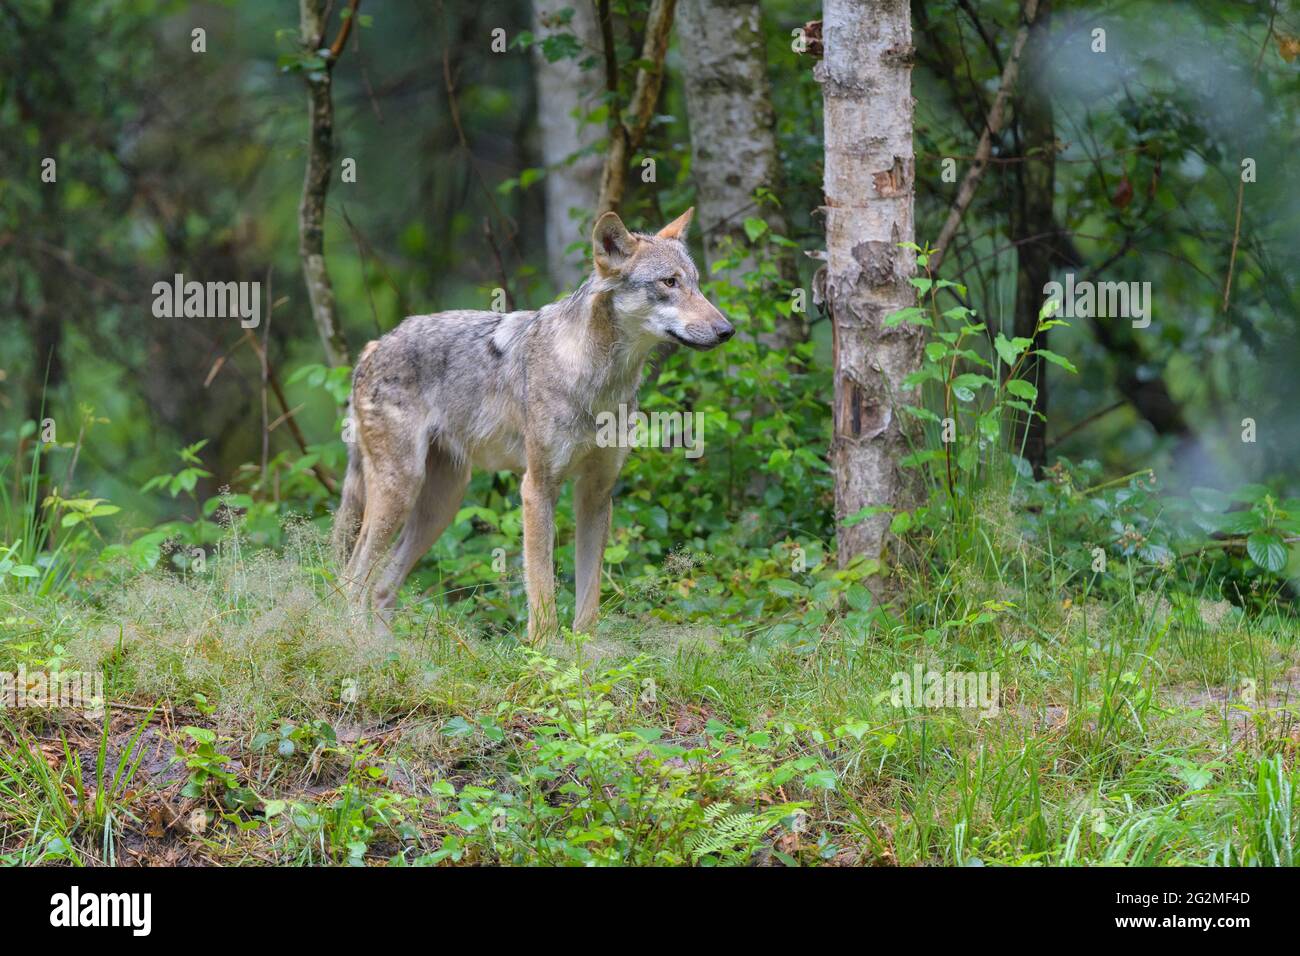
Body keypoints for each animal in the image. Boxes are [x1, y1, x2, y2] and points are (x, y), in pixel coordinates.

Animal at [332, 208, 733, 642]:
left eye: (695, 283)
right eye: (669, 283)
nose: (727, 330)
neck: (599, 380)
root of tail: (374, 346)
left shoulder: (596, 493)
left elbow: (589, 597)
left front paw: (585, 650)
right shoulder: (537, 488)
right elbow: (542, 589)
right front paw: (543, 649)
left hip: (440, 505)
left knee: (381, 588)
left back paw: (389, 650)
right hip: (400, 492)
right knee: (351, 581)